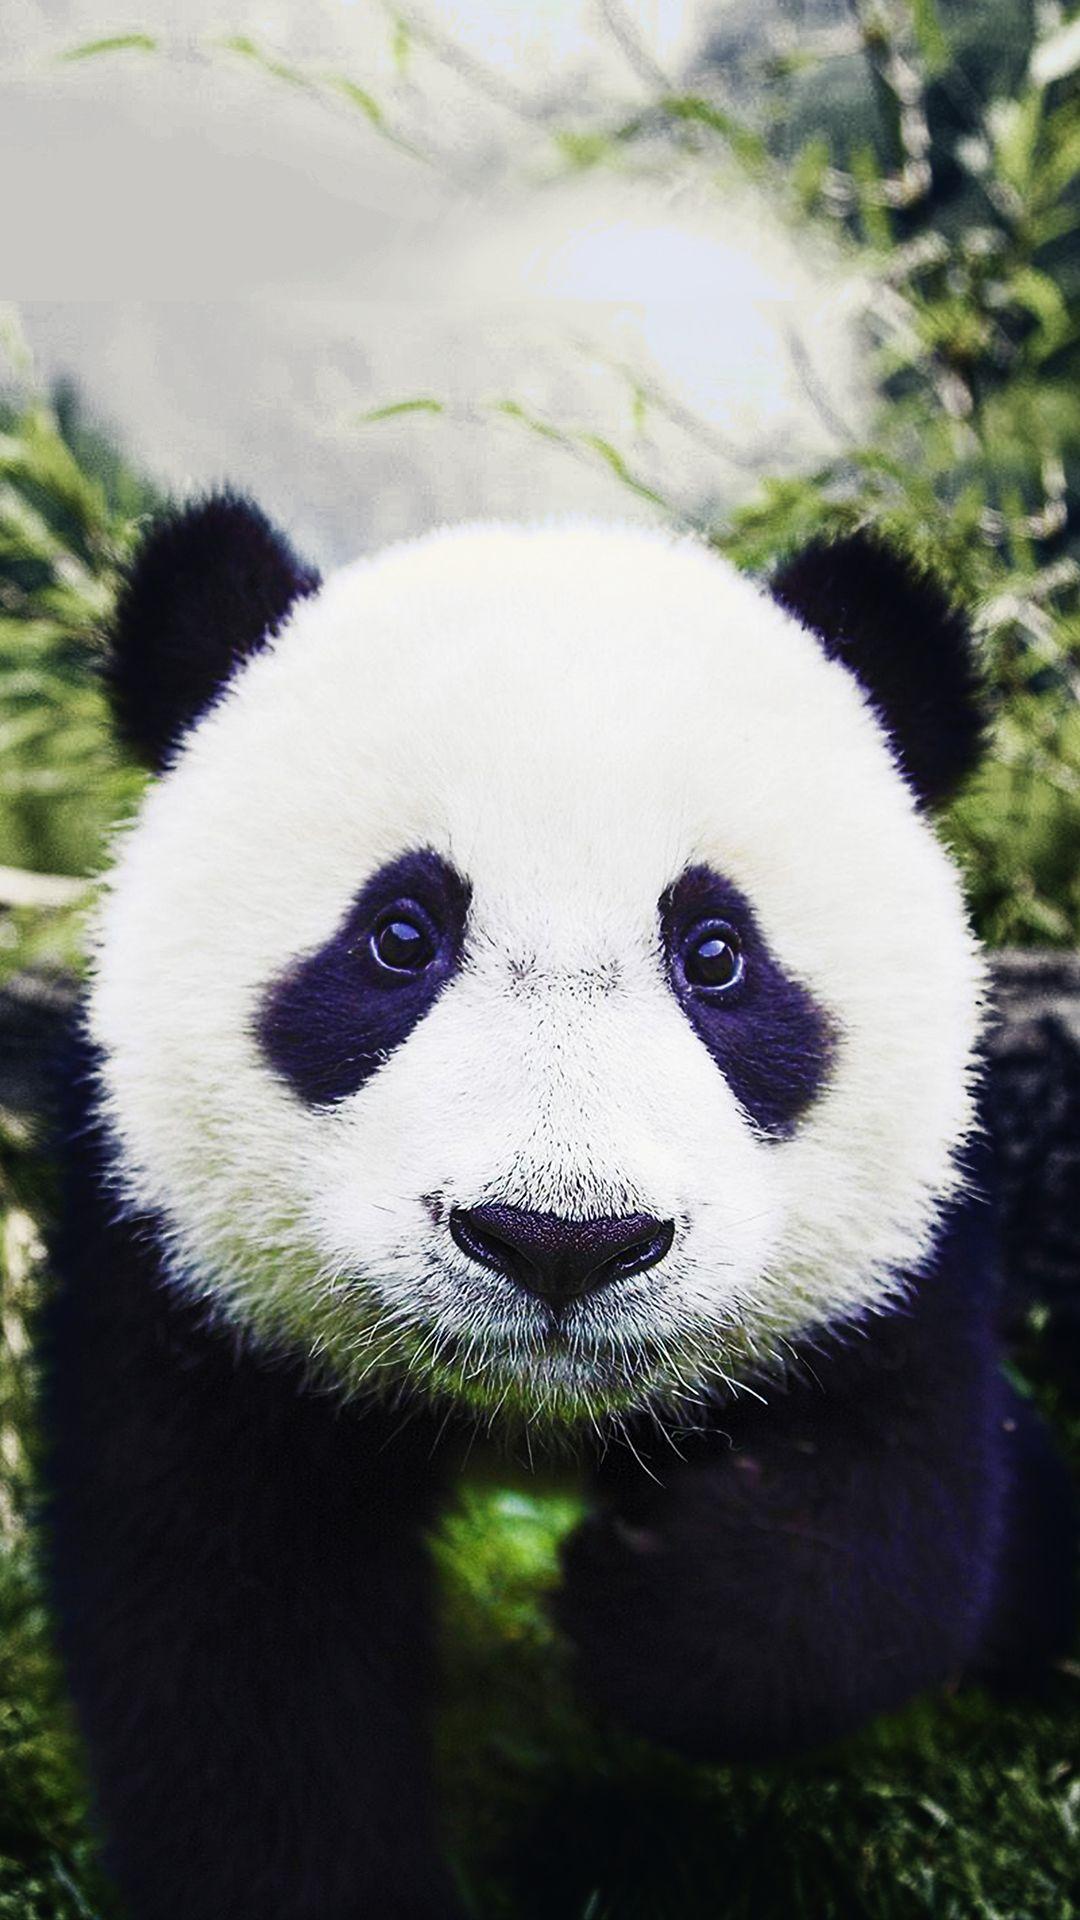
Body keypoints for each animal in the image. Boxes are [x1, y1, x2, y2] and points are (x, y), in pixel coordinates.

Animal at [45, 495, 1075, 1920]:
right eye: (399, 935)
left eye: (717, 954)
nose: (561, 1242)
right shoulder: (183, 1280)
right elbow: (230, 1644)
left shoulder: (900, 1254)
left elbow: (884, 1526)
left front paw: (644, 1599)